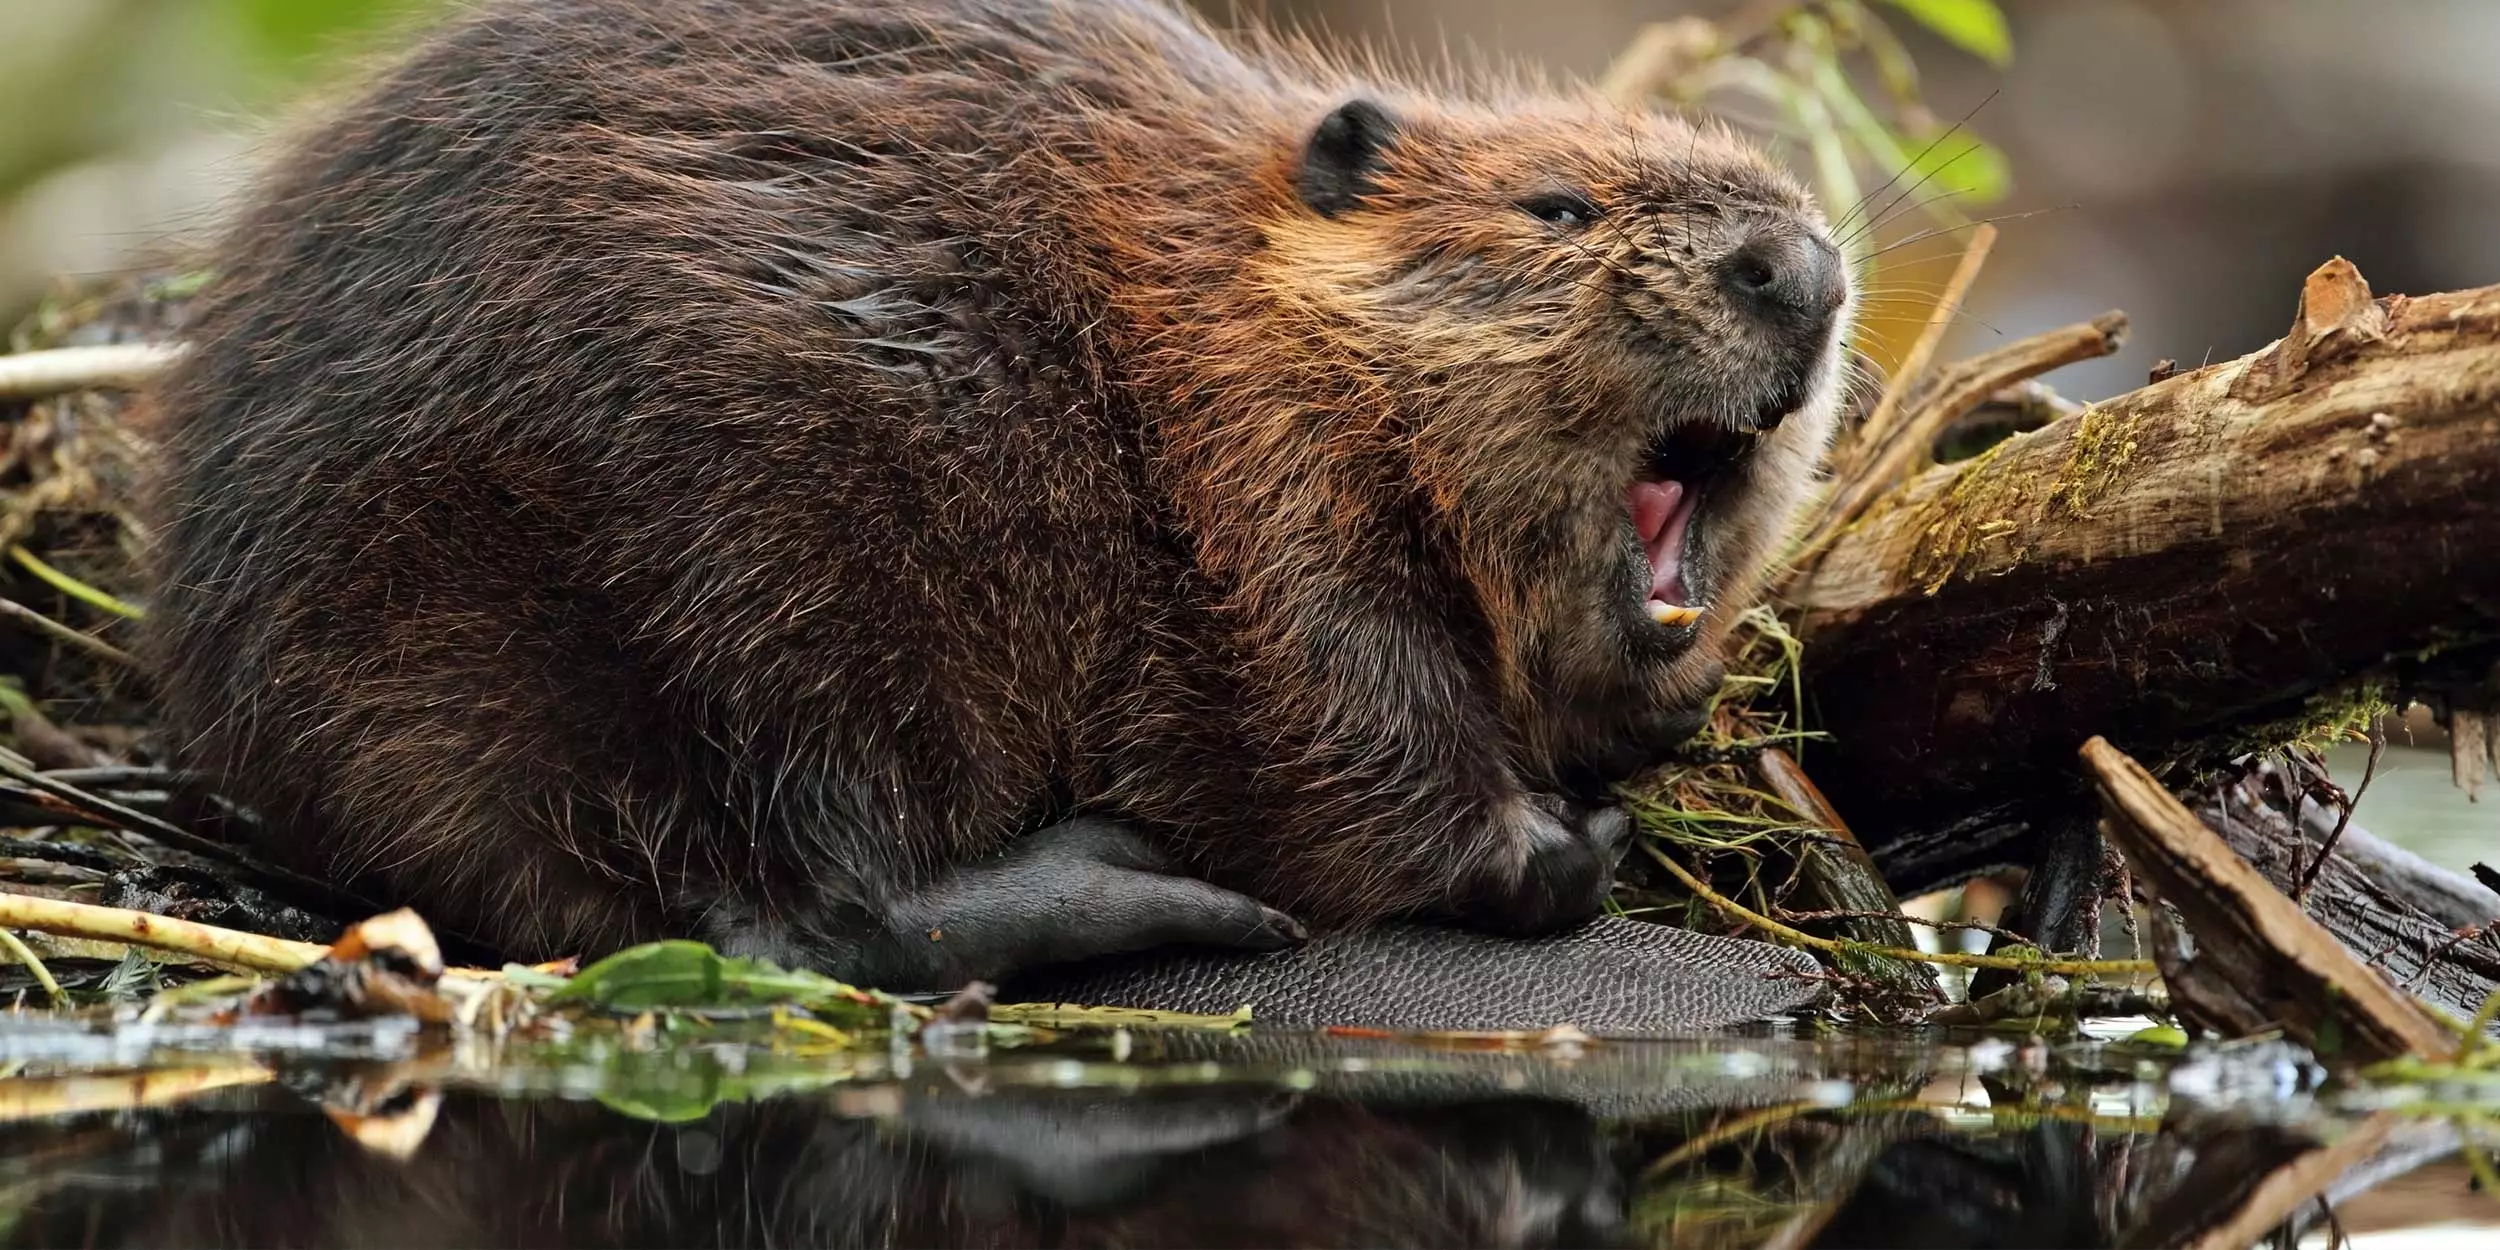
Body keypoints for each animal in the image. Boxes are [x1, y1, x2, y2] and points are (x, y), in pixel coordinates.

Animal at [141, 0, 1860, 985]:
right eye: (1556, 205)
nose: (1803, 264)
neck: (1221, 290)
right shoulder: (1263, 482)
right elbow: (1342, 724)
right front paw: (1559, 844)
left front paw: (1649, 727)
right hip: (758, 555)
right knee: (804, 903)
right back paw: (1152, 887)